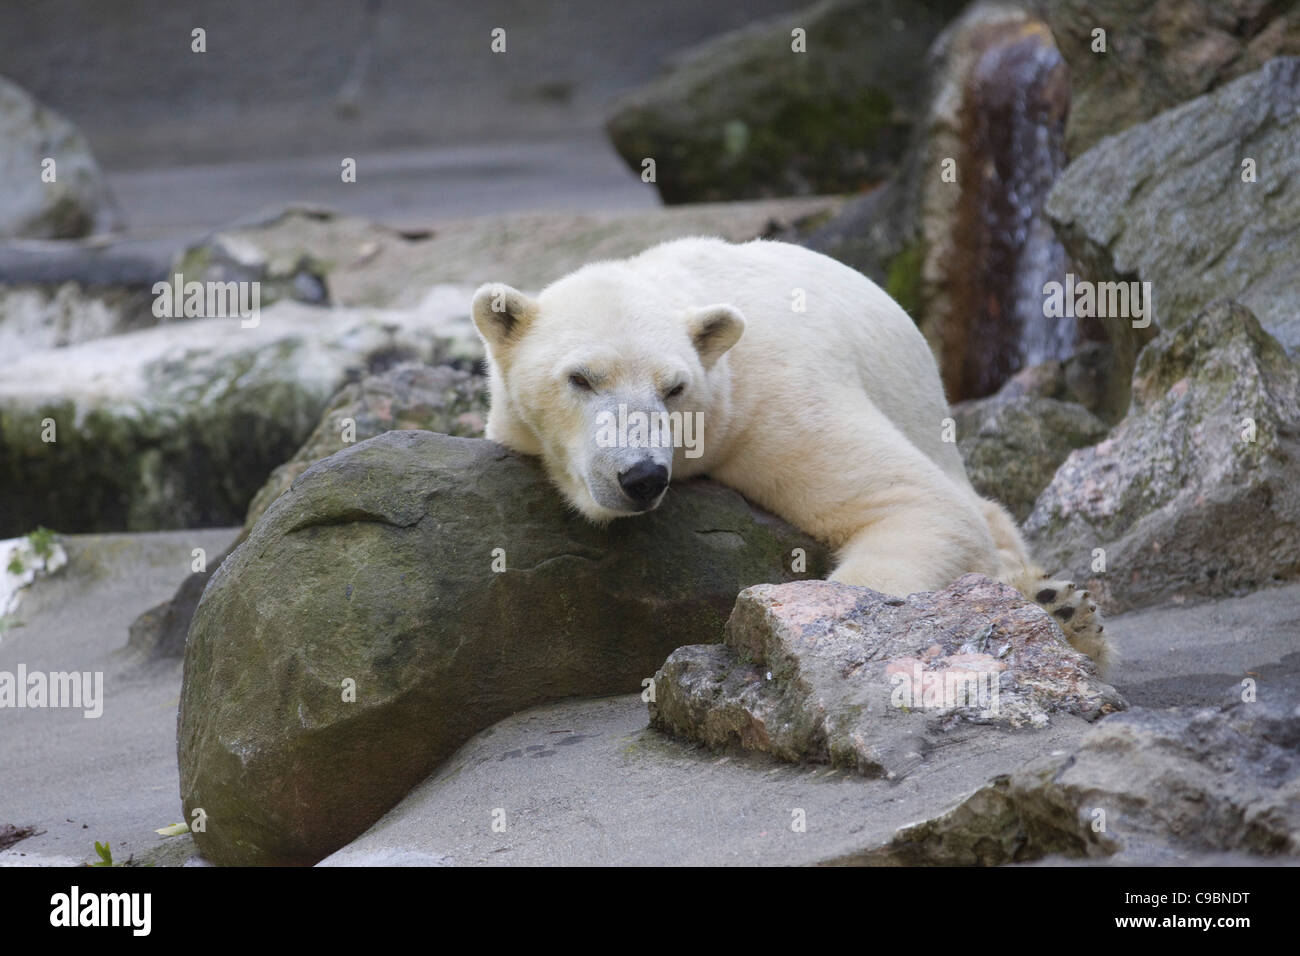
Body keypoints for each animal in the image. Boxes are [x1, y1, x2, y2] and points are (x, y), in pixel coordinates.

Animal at [471, 236, 1111, 673]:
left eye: (674, 388)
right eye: (580, 378)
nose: (642, 476)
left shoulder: (773, 401)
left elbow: (918, 504)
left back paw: (1060, 610)